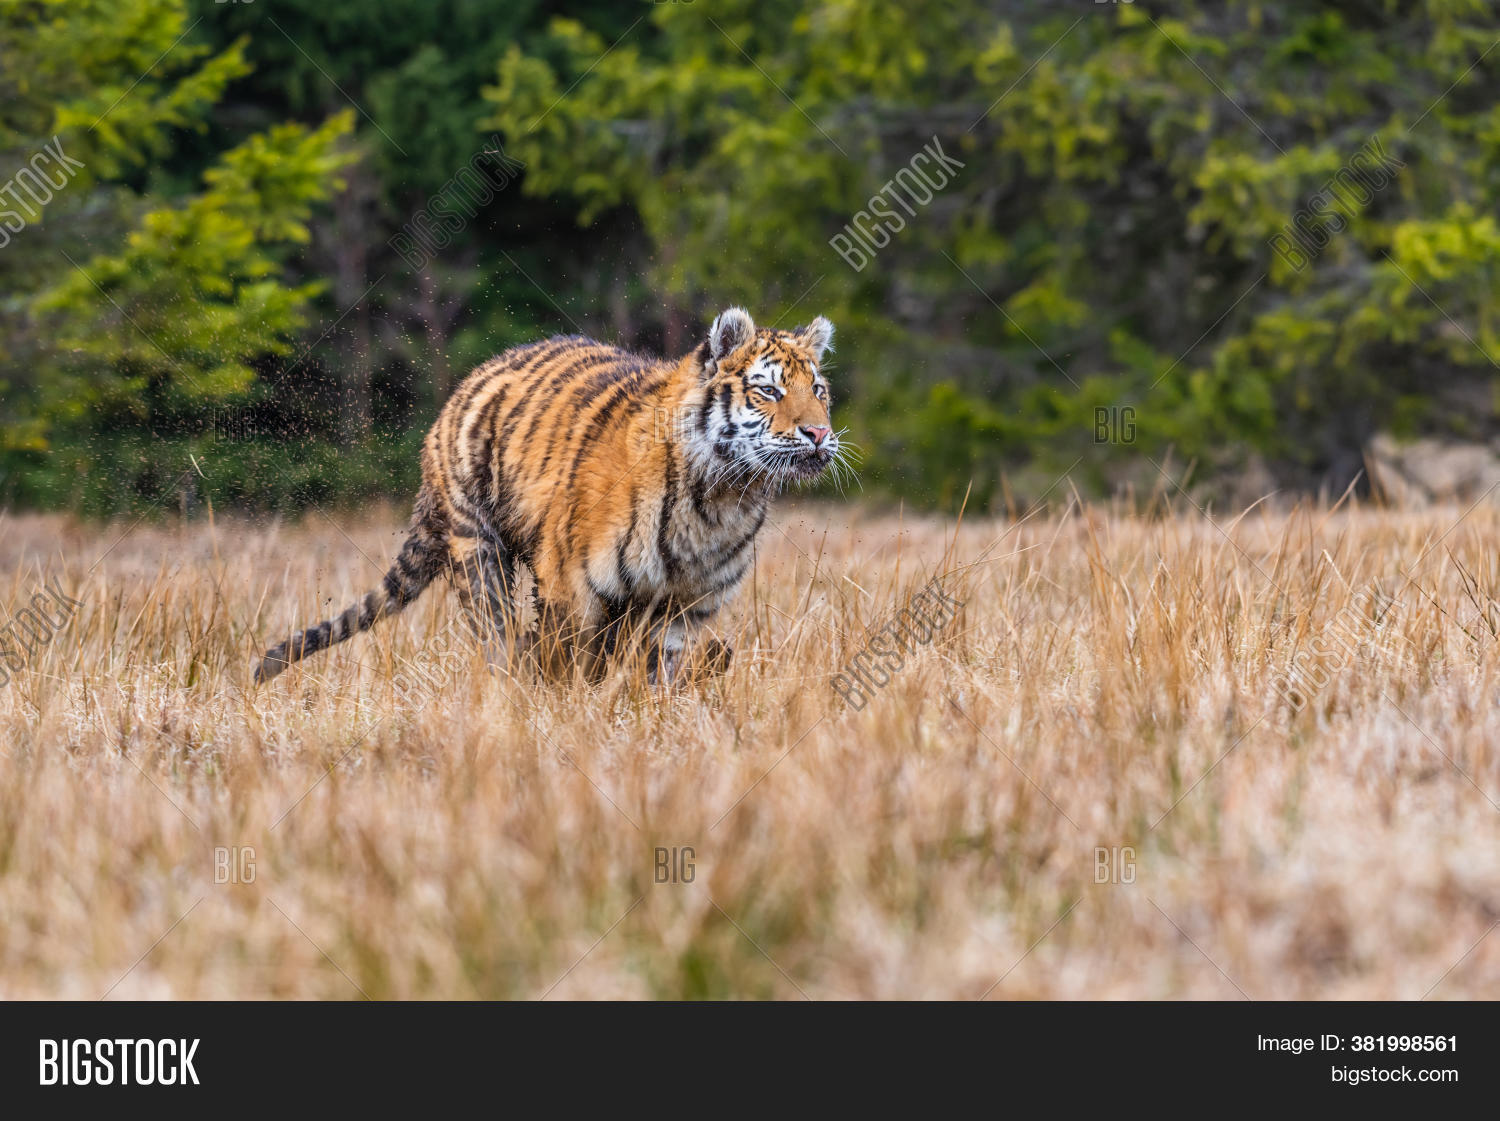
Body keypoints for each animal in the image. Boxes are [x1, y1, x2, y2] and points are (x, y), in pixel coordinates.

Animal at [253, 306, 842, 685]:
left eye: (817, 390)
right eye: (768, 390)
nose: (818, 433)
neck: (723, 497)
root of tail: (457, 395)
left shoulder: (686, 608)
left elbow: (655, 677)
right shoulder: (572, 586)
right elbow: (567, 666)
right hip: (479, 554)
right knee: (497, 638)